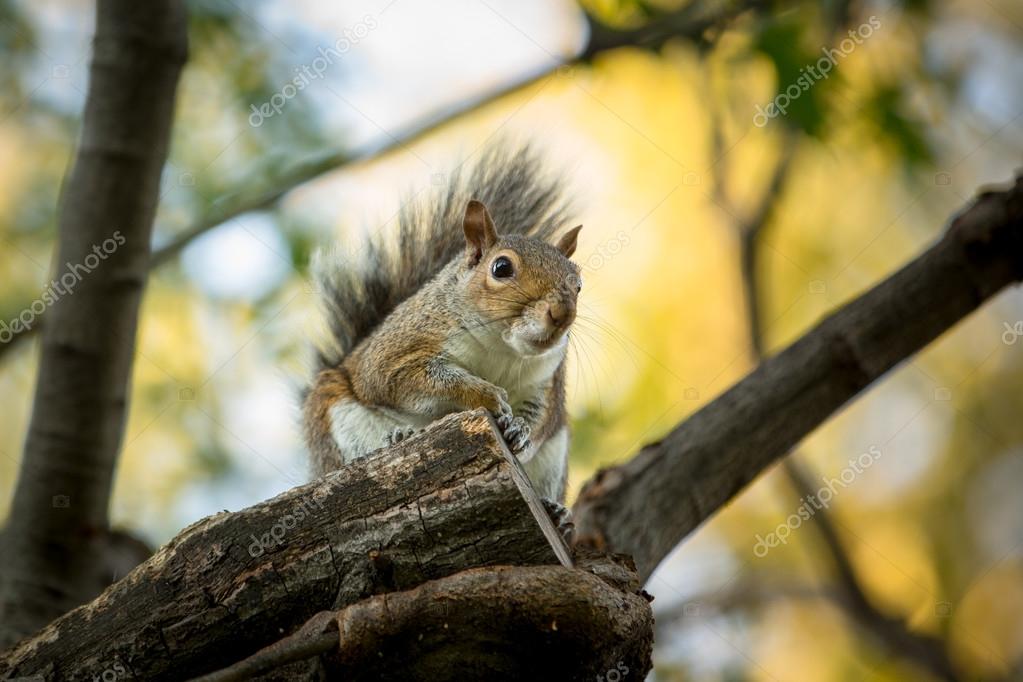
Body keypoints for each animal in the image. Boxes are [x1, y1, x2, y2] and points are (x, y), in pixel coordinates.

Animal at [302, 146, 582, 508]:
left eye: (579, 284)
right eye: (501, 267)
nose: (562, 313)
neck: (501, 348)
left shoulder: (546, 381)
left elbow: (541, 418)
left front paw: (519, 430)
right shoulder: (398, 351)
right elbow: (410, 379)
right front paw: (485, 394)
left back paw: (556, 512)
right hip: (337, 417)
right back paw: (397, 436)